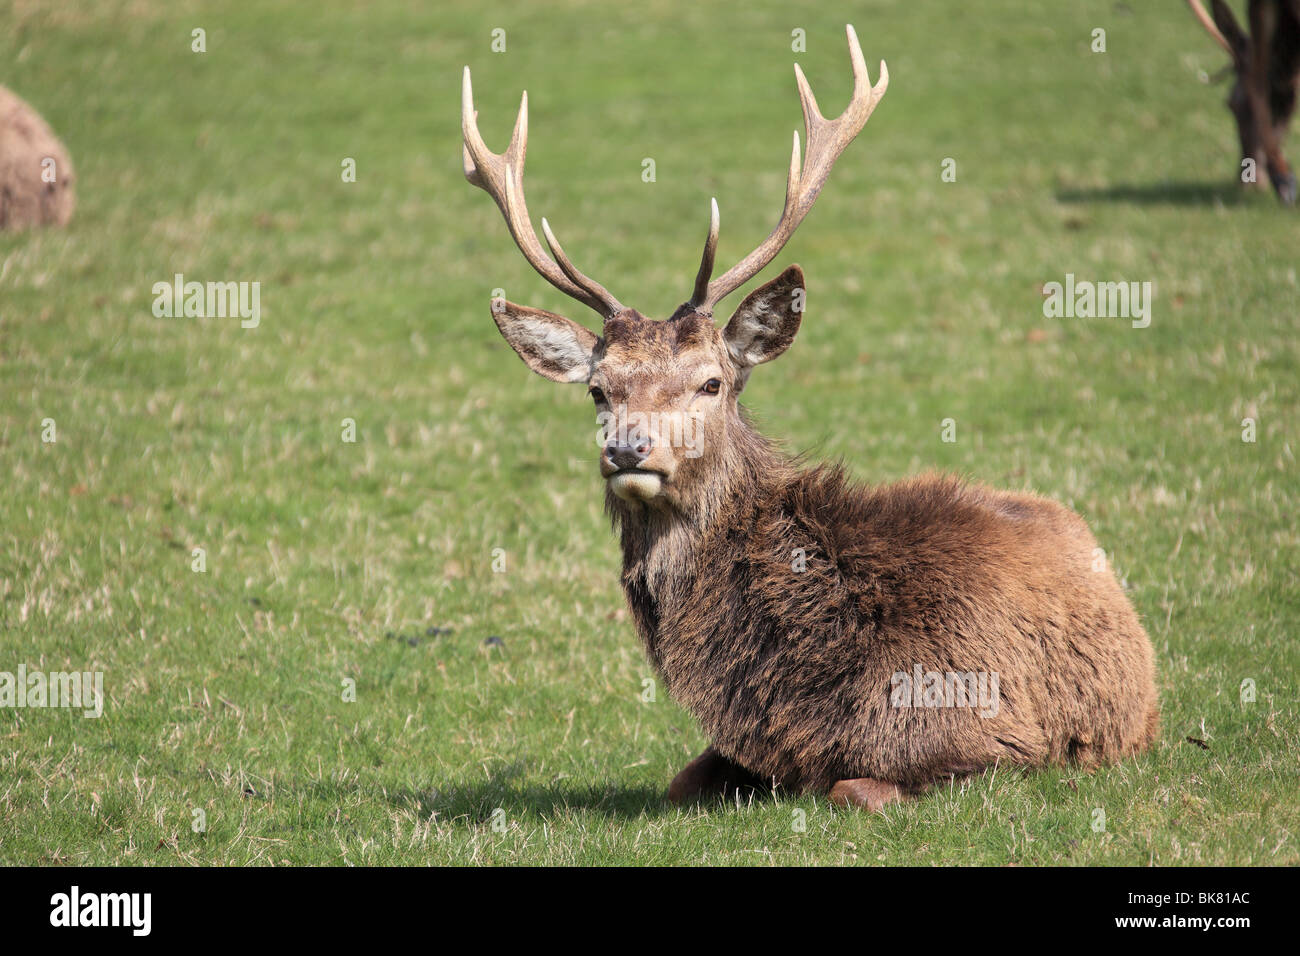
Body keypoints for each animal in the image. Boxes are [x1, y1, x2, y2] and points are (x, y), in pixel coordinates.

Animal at [461, 25, 1160, 811]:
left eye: (711, 383)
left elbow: (853, 787)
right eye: (598, 391)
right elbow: (680, 782)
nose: (629, 450)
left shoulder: (992, 734)